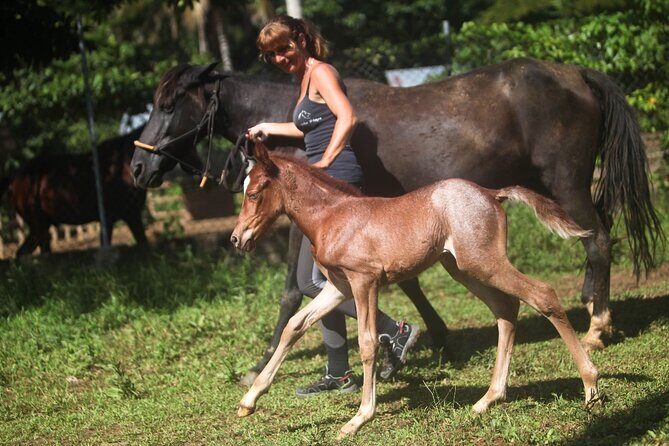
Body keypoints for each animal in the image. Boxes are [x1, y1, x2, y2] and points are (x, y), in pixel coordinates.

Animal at [2, 127, 148, 256]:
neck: (122, 164)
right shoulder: (118, 217)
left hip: (42, 227)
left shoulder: (129, 216)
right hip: (38, 226)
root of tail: (14, 177)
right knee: (23, 253)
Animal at [130, 58, 664, 379]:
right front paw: (424, 339)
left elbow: (292, 292)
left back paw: (598, 328)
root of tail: (576, 74)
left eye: (168, 104)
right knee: (598, 238)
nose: (136, 167)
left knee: (598, 241)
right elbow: (405, 282)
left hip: (566, 184)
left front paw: (261, 364)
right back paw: (591, 307)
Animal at [231, 143, 602, 438]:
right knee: (506, 310)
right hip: (463, 269)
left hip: (485, 263)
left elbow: (368, 343)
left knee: (543, 295)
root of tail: (491, 193)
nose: (237, 238)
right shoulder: (339, 286)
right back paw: (488, 398)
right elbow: (295, 326)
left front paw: (359, 418)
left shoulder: (364, 281)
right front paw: (249, 401)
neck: (332, 217)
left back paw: (591, 385)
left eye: (254, 193)